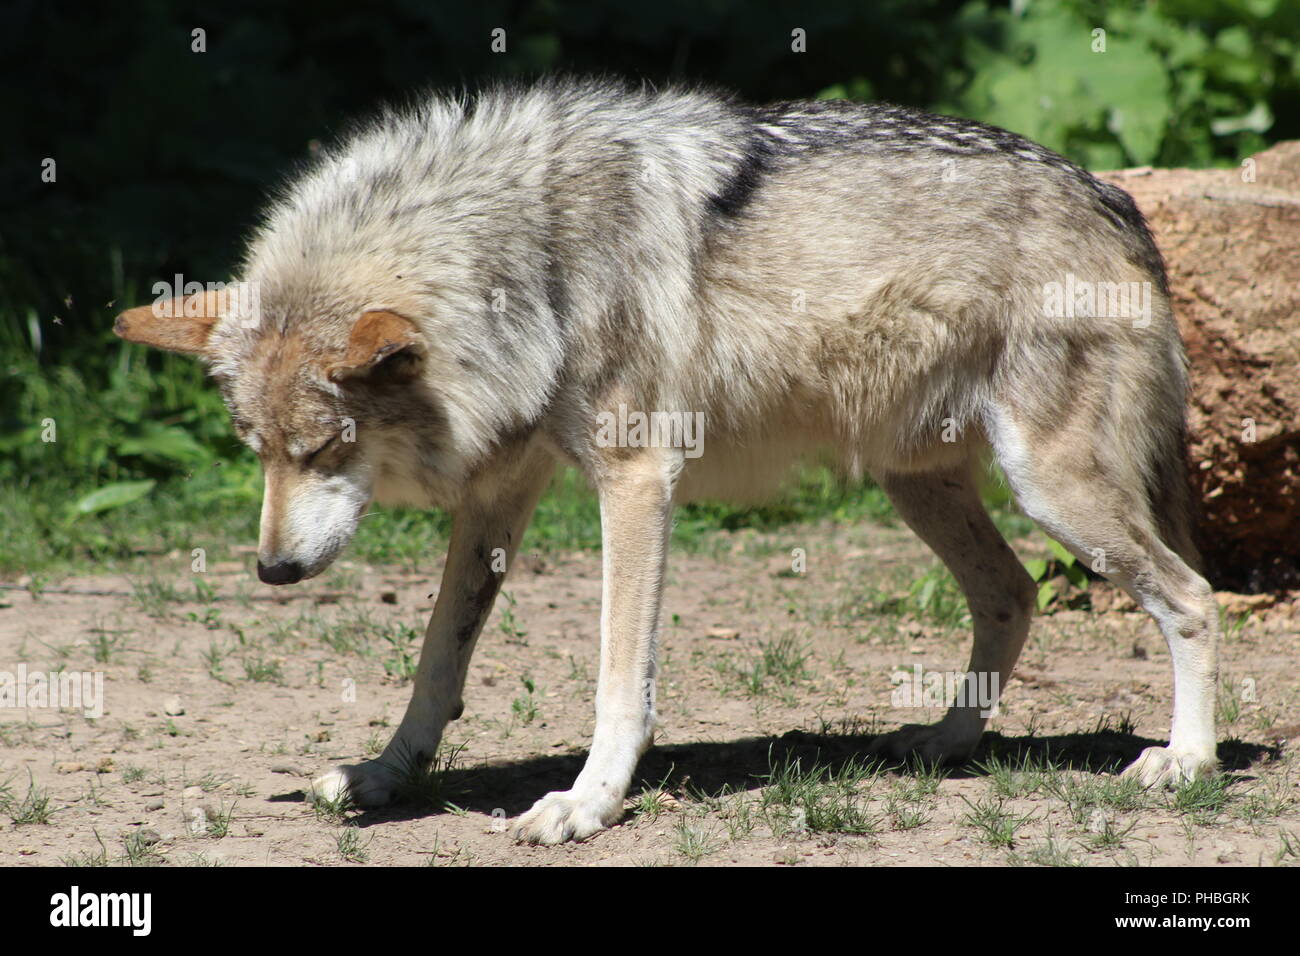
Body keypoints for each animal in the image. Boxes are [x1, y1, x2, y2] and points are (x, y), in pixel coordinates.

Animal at [114, 77, 1219, 844]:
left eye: (323, 448)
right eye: (258, 452)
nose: (272, 570)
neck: (526, 258)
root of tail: (1115, 195)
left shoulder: (637, 479)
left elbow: (618, 678)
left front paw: (585, 803)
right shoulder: (497, 492)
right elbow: (437, 657)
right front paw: (389, 774)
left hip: (1051, 490)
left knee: (1191, 596)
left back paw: (1187, 762)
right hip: (923, 486)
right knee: (1013, 593)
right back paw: (944, 741)